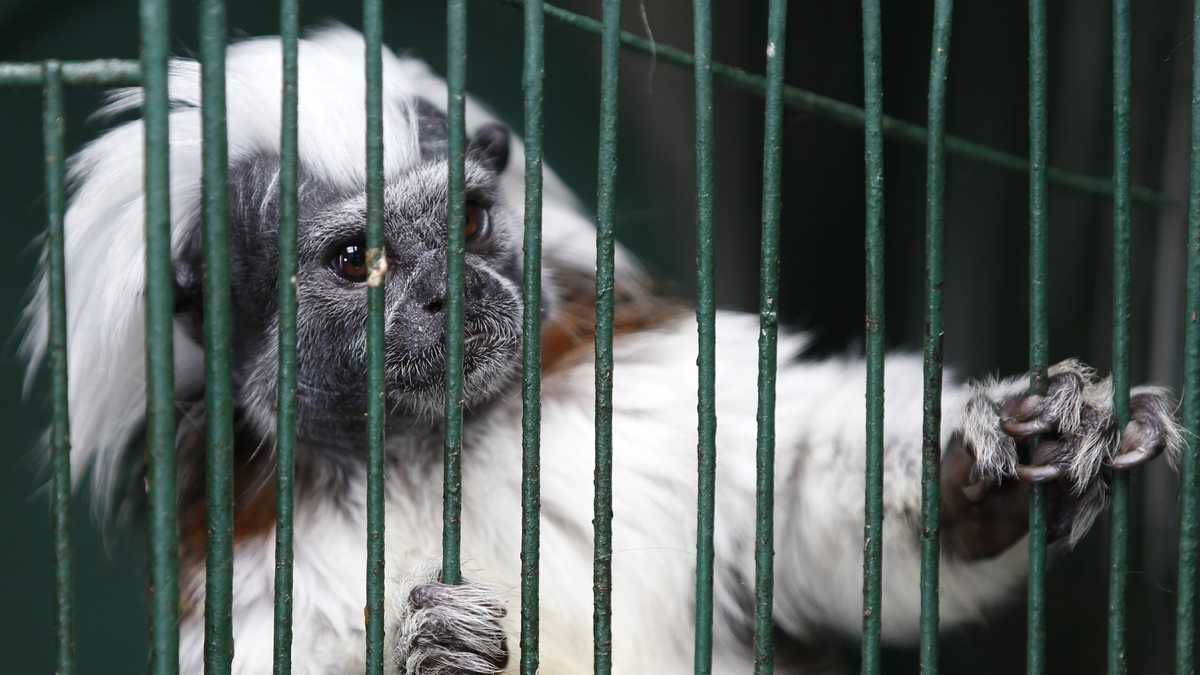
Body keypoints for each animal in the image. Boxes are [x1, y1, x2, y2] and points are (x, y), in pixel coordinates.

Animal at [19, 26, 1182, 675]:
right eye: (358, 261)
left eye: (471, 222)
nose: (451, 290)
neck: (432, 454)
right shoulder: (255, 582)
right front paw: (432, 655)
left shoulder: (648, 400)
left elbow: (810, 510)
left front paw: (997, 469)